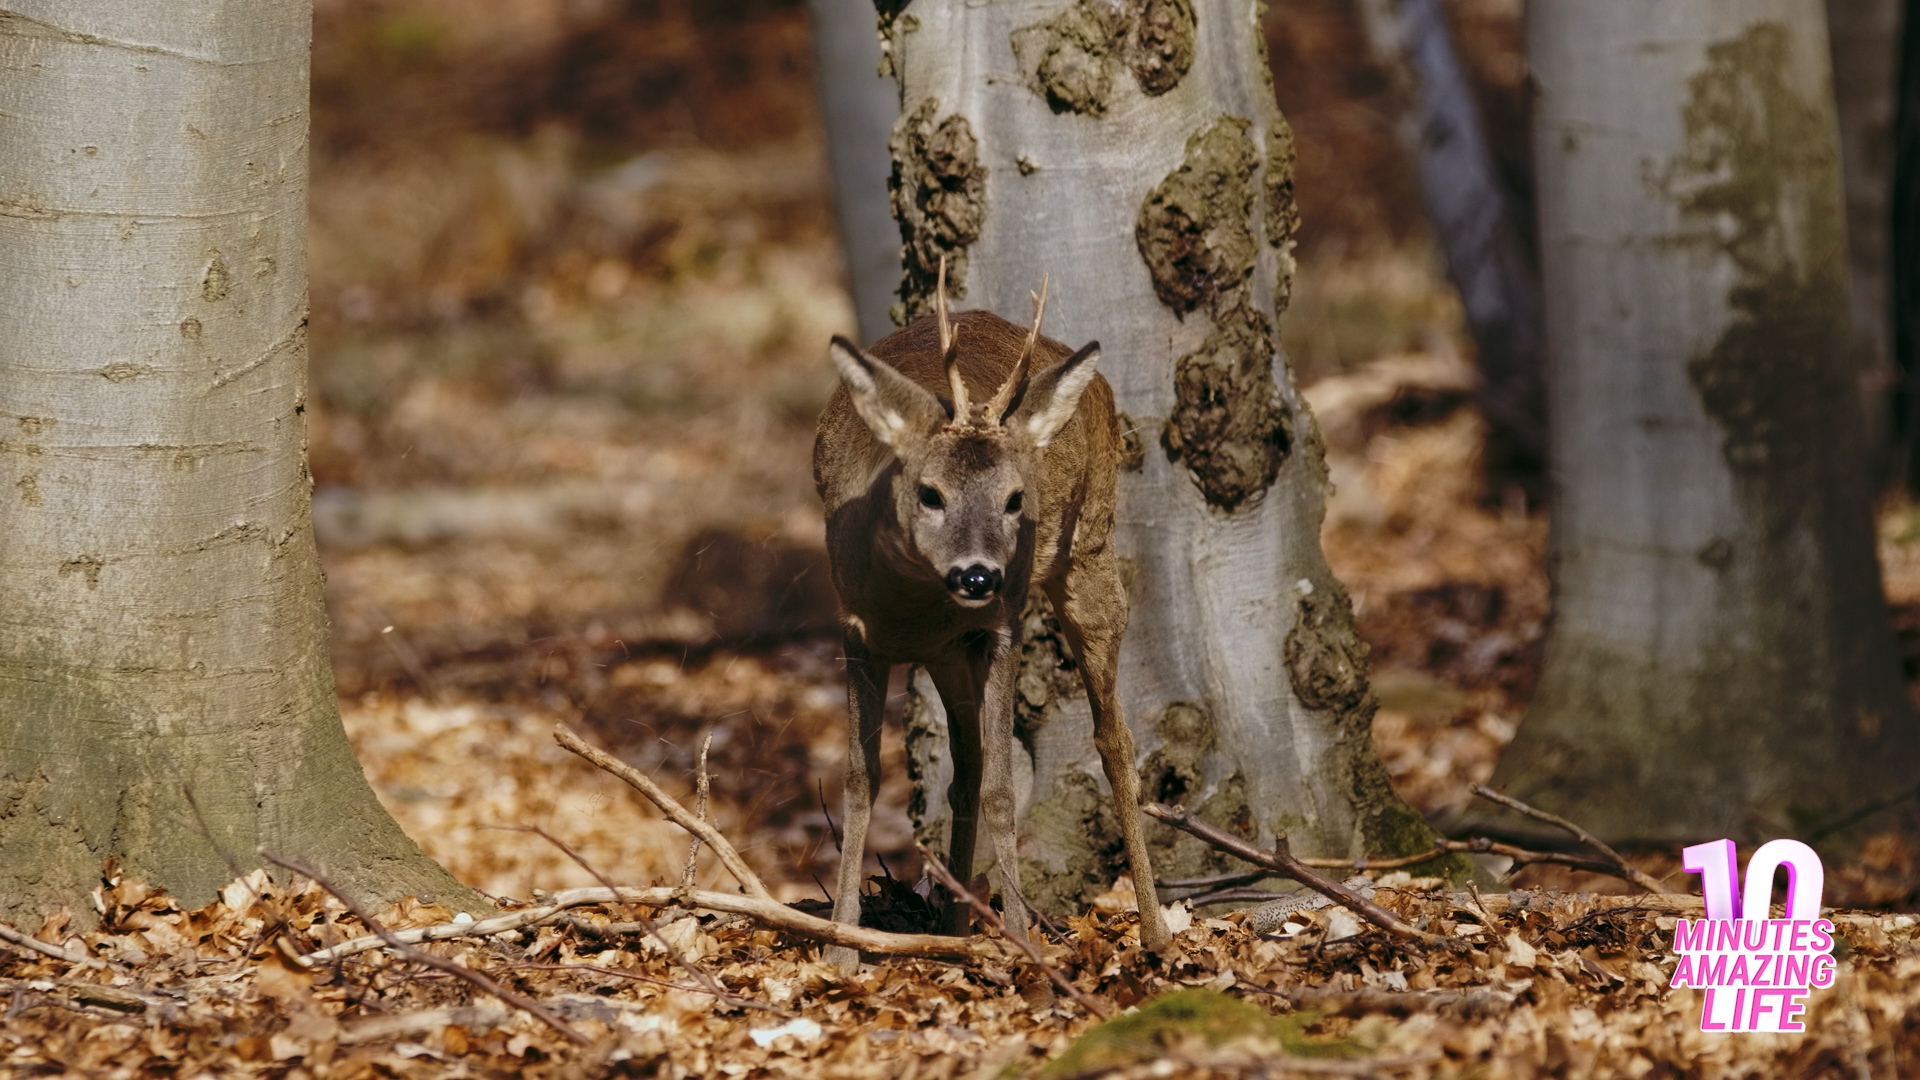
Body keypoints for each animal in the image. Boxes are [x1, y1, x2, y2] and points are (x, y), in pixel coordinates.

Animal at [813, 261, 1171, 969]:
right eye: (930, 493)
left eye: (1014, 498)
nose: (978, 575)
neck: (912, 606)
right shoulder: (857, 631)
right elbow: (862, 783)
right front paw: (841, 948)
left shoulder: (1000, 627)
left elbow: (1006, 793)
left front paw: (1025, 942)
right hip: (952, 655)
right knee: (967, 765)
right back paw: (953, 930)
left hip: (1088, 553)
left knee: (1113, 738)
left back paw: (1154, 932)